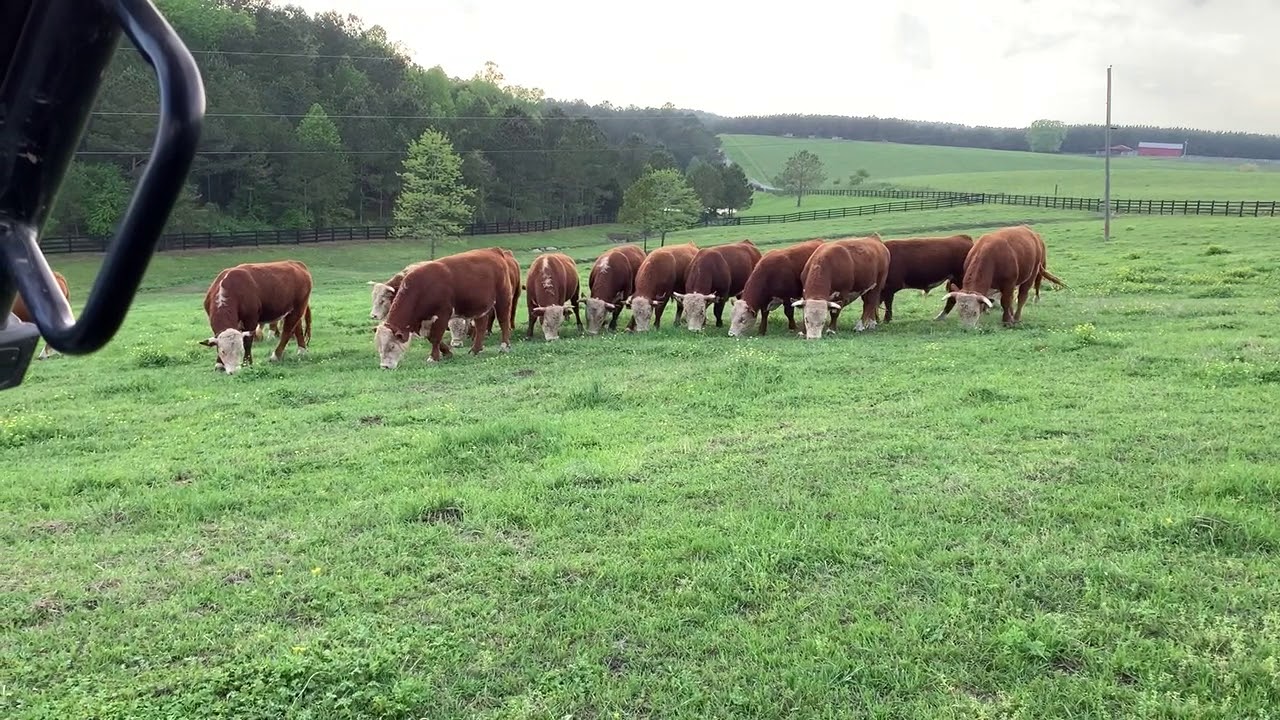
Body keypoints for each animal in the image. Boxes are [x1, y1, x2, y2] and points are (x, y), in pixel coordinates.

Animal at [375, 247, 515, 369]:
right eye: (379, 347)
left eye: (392, 346)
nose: (384, 366)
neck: (422, 288)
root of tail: (494, 250)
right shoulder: (424, 320)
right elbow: (430, 337)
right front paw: (447, 352)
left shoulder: (442, 314)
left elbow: (435, 337)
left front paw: (434, 357)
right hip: (480, 307)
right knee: (481, 326)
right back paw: (475, 349)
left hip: (503, 299)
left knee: (503, 321)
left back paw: (504, 346)